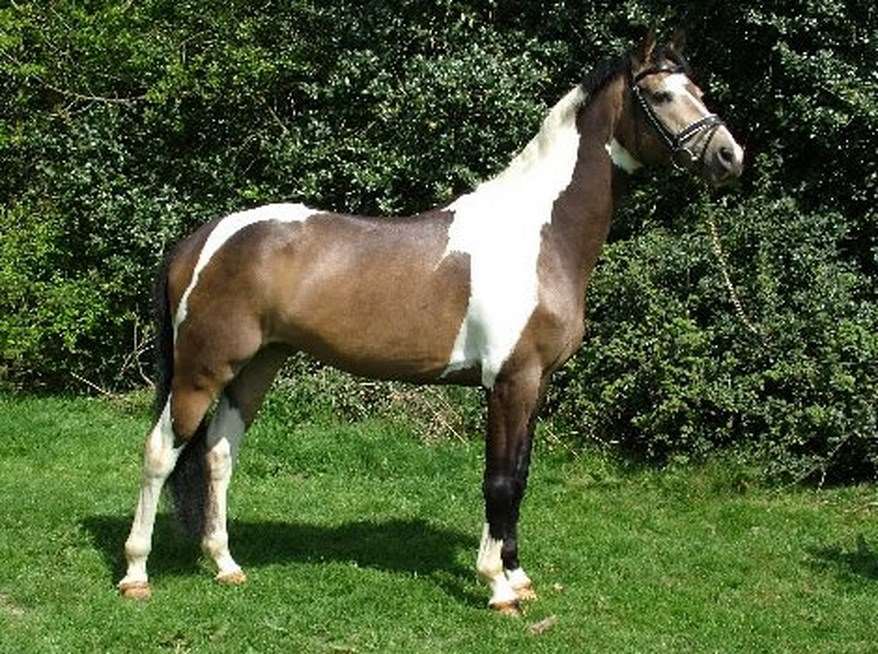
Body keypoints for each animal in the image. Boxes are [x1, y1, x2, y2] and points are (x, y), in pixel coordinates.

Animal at [118, 30, 744, 614]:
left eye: (698, 89)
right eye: (661, 95)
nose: (730, 157)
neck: (539, 235)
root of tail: (202, 239)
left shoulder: (536, 383)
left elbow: (520, 476)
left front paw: (518, 576)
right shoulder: (510, 382)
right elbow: (500, 479)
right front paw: (497, 586)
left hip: (256, 366)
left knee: (219, 452)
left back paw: (226, 564)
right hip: (202, 368)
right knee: (161, 452)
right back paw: (136, 574)